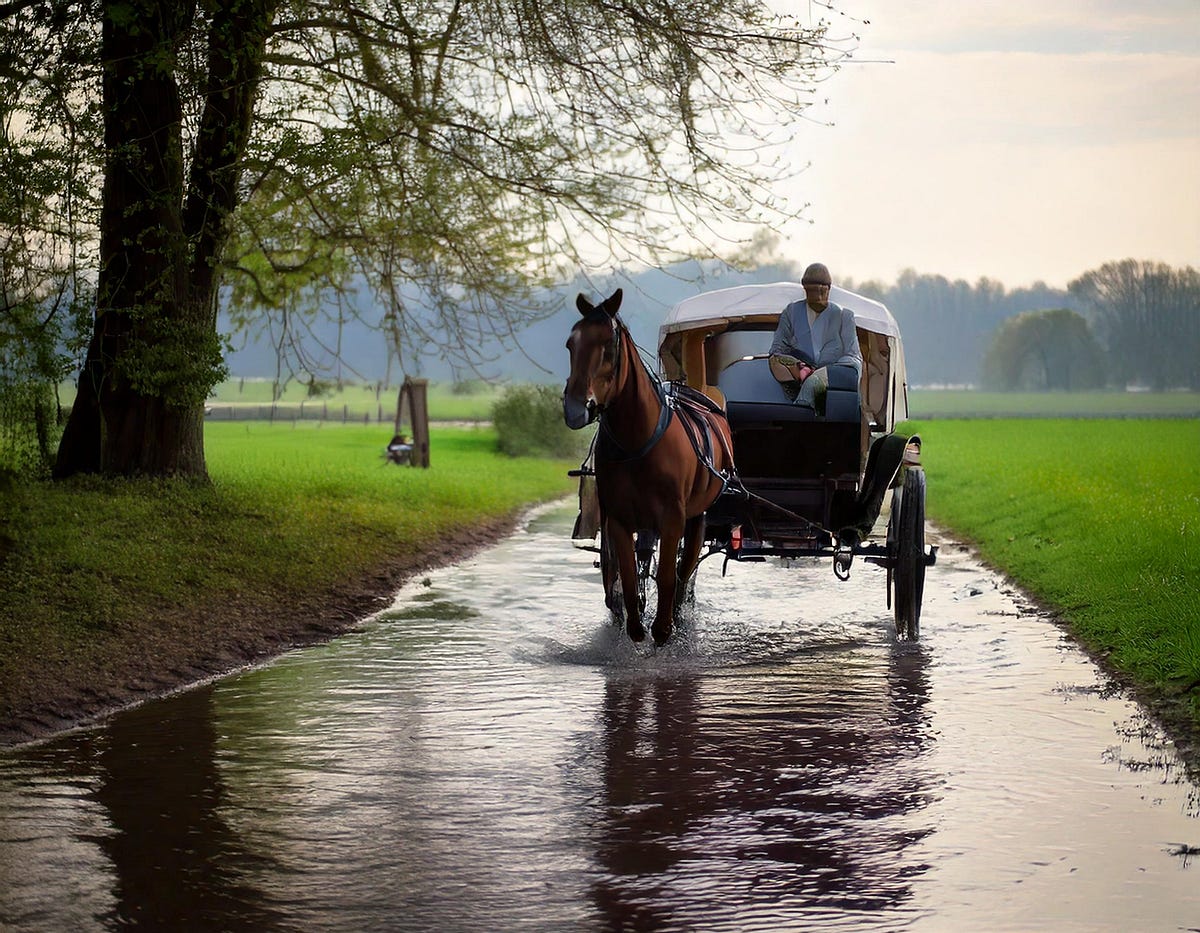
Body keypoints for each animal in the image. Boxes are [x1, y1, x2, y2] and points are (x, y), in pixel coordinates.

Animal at [563, 288, 733, 646]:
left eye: (609, 345)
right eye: (571, 344)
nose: (574, 408)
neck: (637, 441)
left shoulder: (673, 517)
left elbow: (668, 574)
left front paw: (664, 629)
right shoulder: (618, 519)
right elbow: (627, 576)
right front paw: (635, 624)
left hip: (697, 515)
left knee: (685, 567)